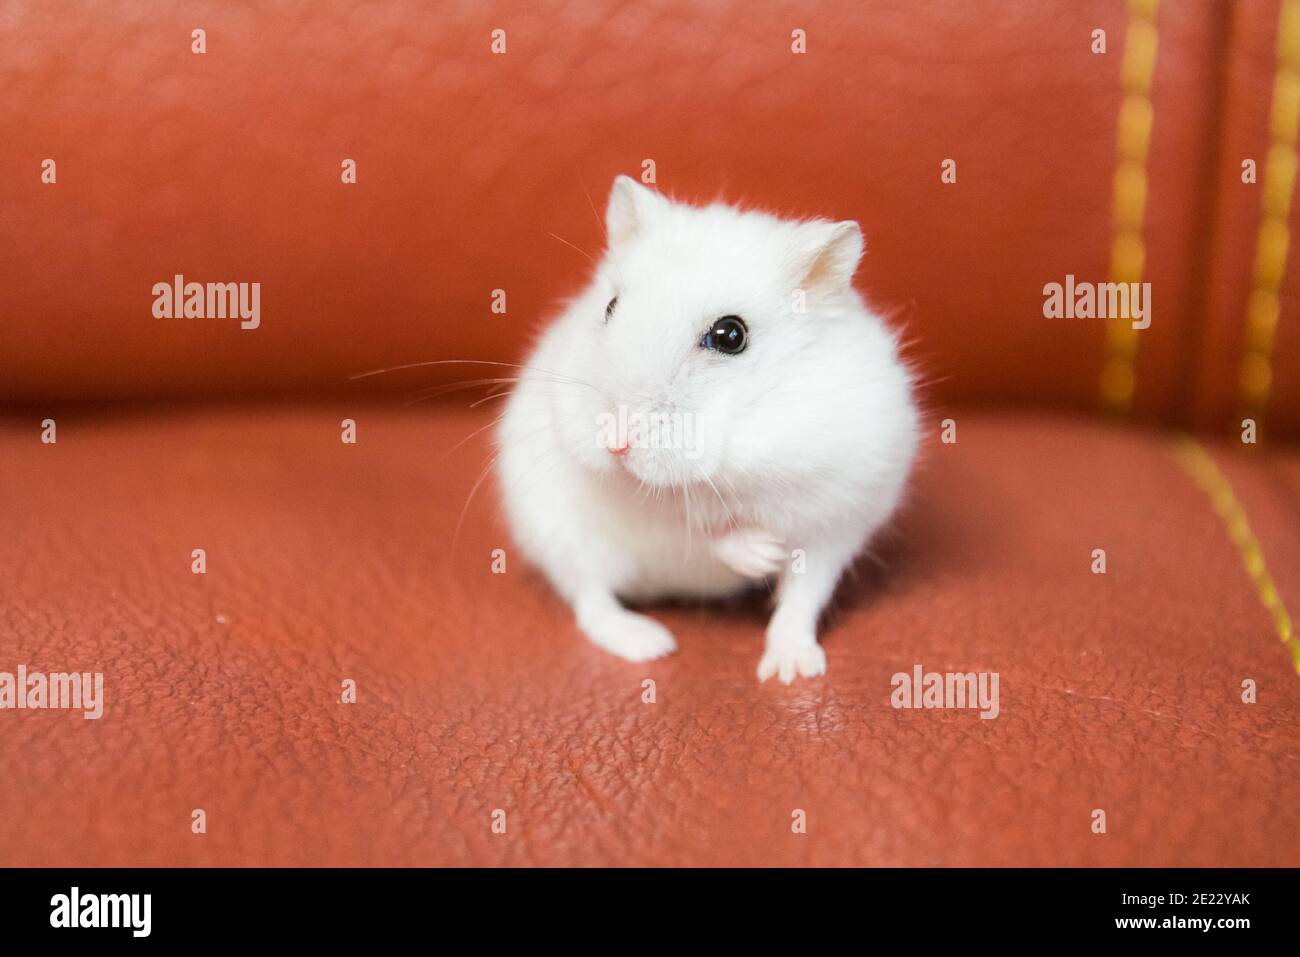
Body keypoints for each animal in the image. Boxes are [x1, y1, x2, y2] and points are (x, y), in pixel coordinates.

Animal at [496, 176, 918, 682]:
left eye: (731, 335)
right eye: (610, 306)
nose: (614, 444)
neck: (739, 461)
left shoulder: (837, 521)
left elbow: (802, 597)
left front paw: (790, 671)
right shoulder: (634, 504)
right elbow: (688, 525)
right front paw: (762, 551)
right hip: (558, 534)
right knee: (591, 600)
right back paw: (651, 644)